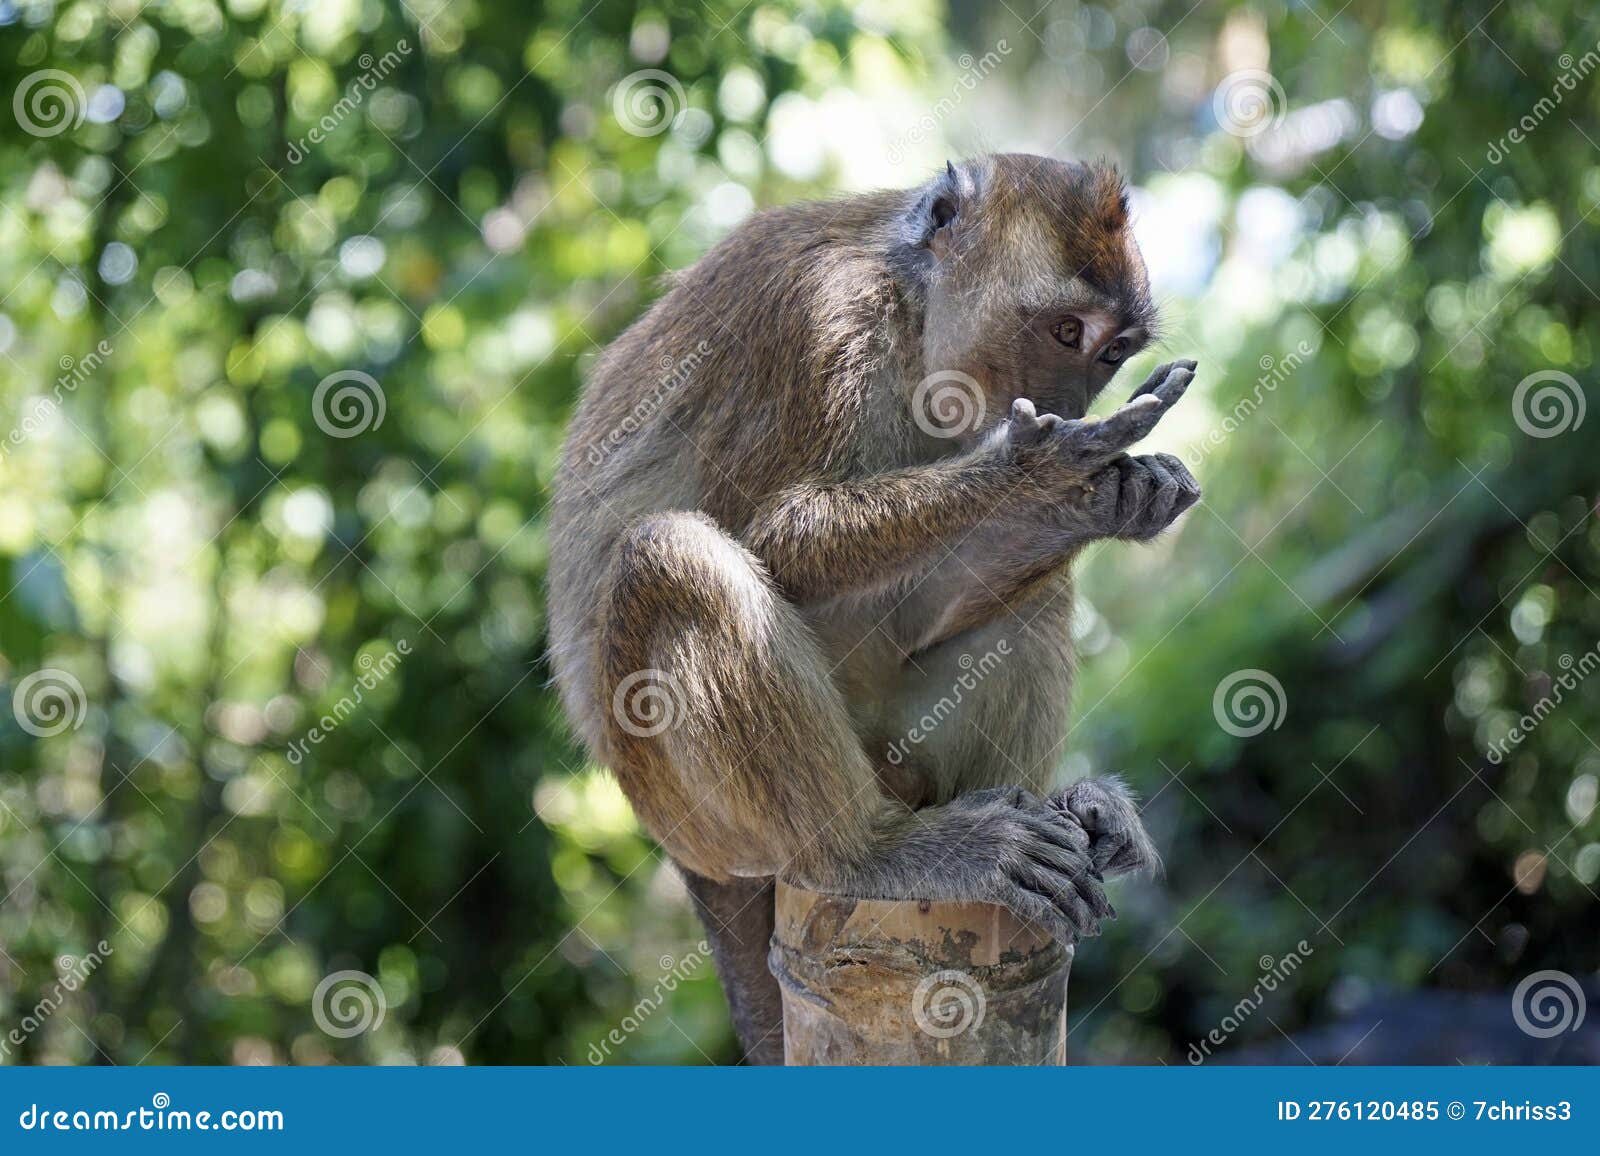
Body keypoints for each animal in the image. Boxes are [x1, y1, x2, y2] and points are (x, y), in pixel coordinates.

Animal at [547, 154, 1199, 1065]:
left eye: (1112, 351)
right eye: (1066, 333)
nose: (1073, 400)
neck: (912, 311)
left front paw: (1113, 497)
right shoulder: (822, 315)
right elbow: (775, 531)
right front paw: (1045, 472)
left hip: (898, 747)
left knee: (1034, 597)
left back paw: (1066, 814)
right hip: (686, 803)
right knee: (674, 559)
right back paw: (871, 854)